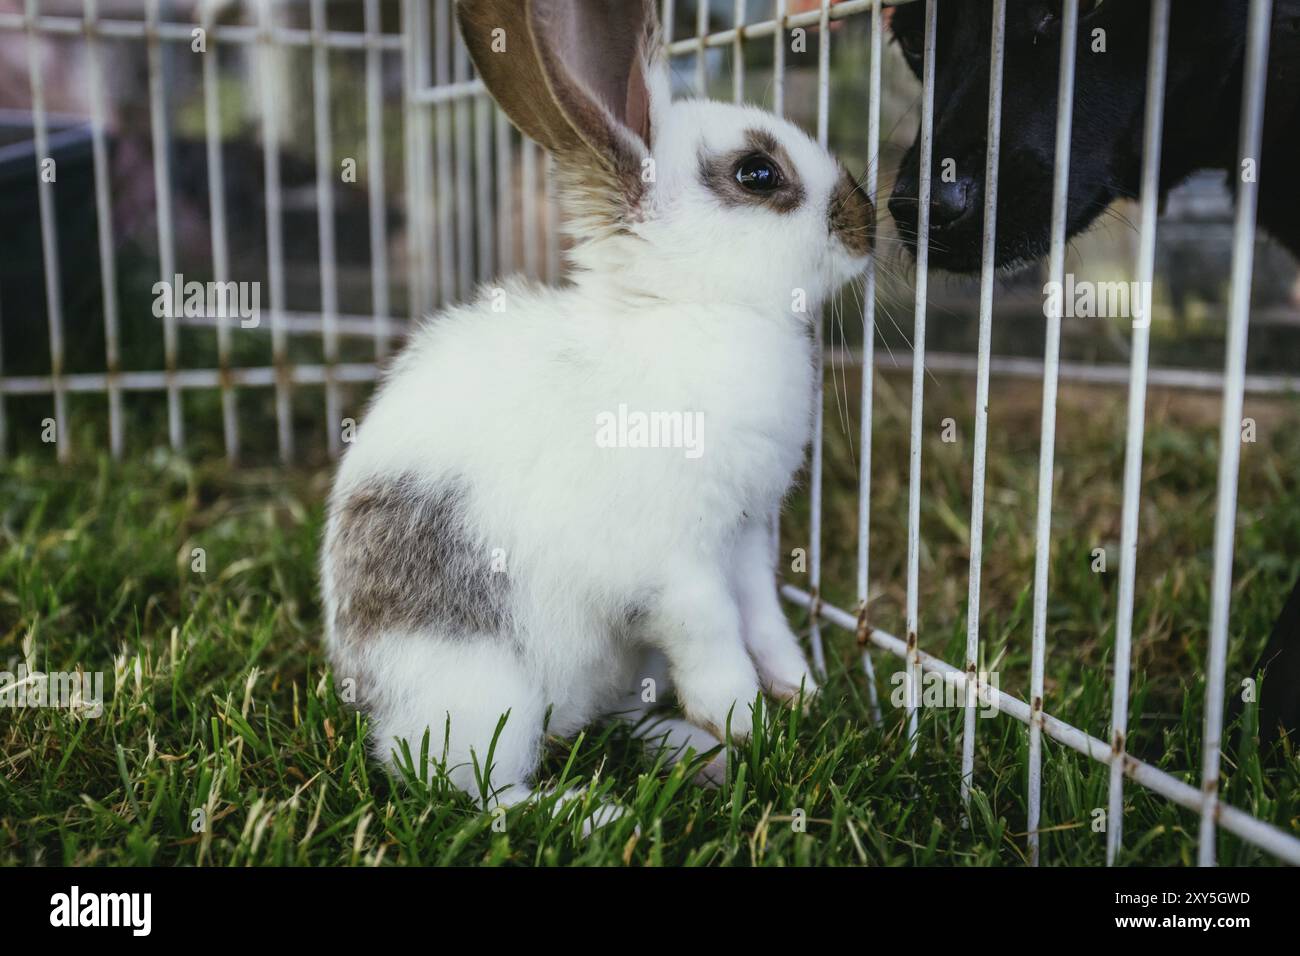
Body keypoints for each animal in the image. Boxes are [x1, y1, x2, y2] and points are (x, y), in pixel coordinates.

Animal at [320, 0, 874, 825]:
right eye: (757, 173)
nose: (868, 222)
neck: (690, 308)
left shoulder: (744, 540)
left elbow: (764, 622)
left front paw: (798, 694)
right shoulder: (677, 569)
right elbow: (716, 642)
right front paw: (751, 726)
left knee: (610, 723)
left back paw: (688, 757)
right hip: (480, 691)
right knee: (476, 789)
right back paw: (602, 812)